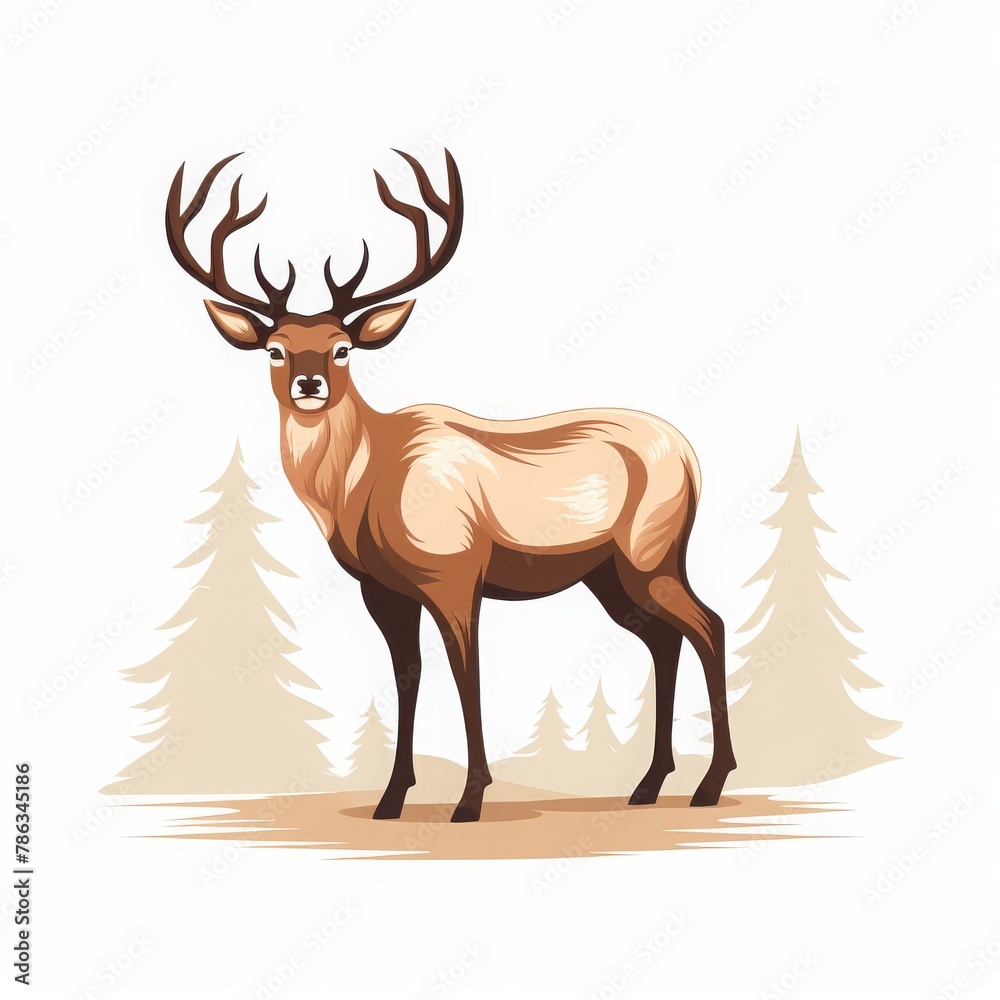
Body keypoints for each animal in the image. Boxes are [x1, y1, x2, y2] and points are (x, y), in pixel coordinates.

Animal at [164, 149, 736, 822]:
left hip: (651, 552)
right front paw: (391, 798)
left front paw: (469, 798)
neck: (361, 488)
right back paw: (648, 785)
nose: (309, 384)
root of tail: (693, 459)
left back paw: (709, 783)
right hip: (610, 575)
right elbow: (406, 675)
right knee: (664, 641)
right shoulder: (382, 589)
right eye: (275, 349)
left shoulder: (456, 572)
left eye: (341, 348)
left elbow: (467, 675)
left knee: (709, 626)